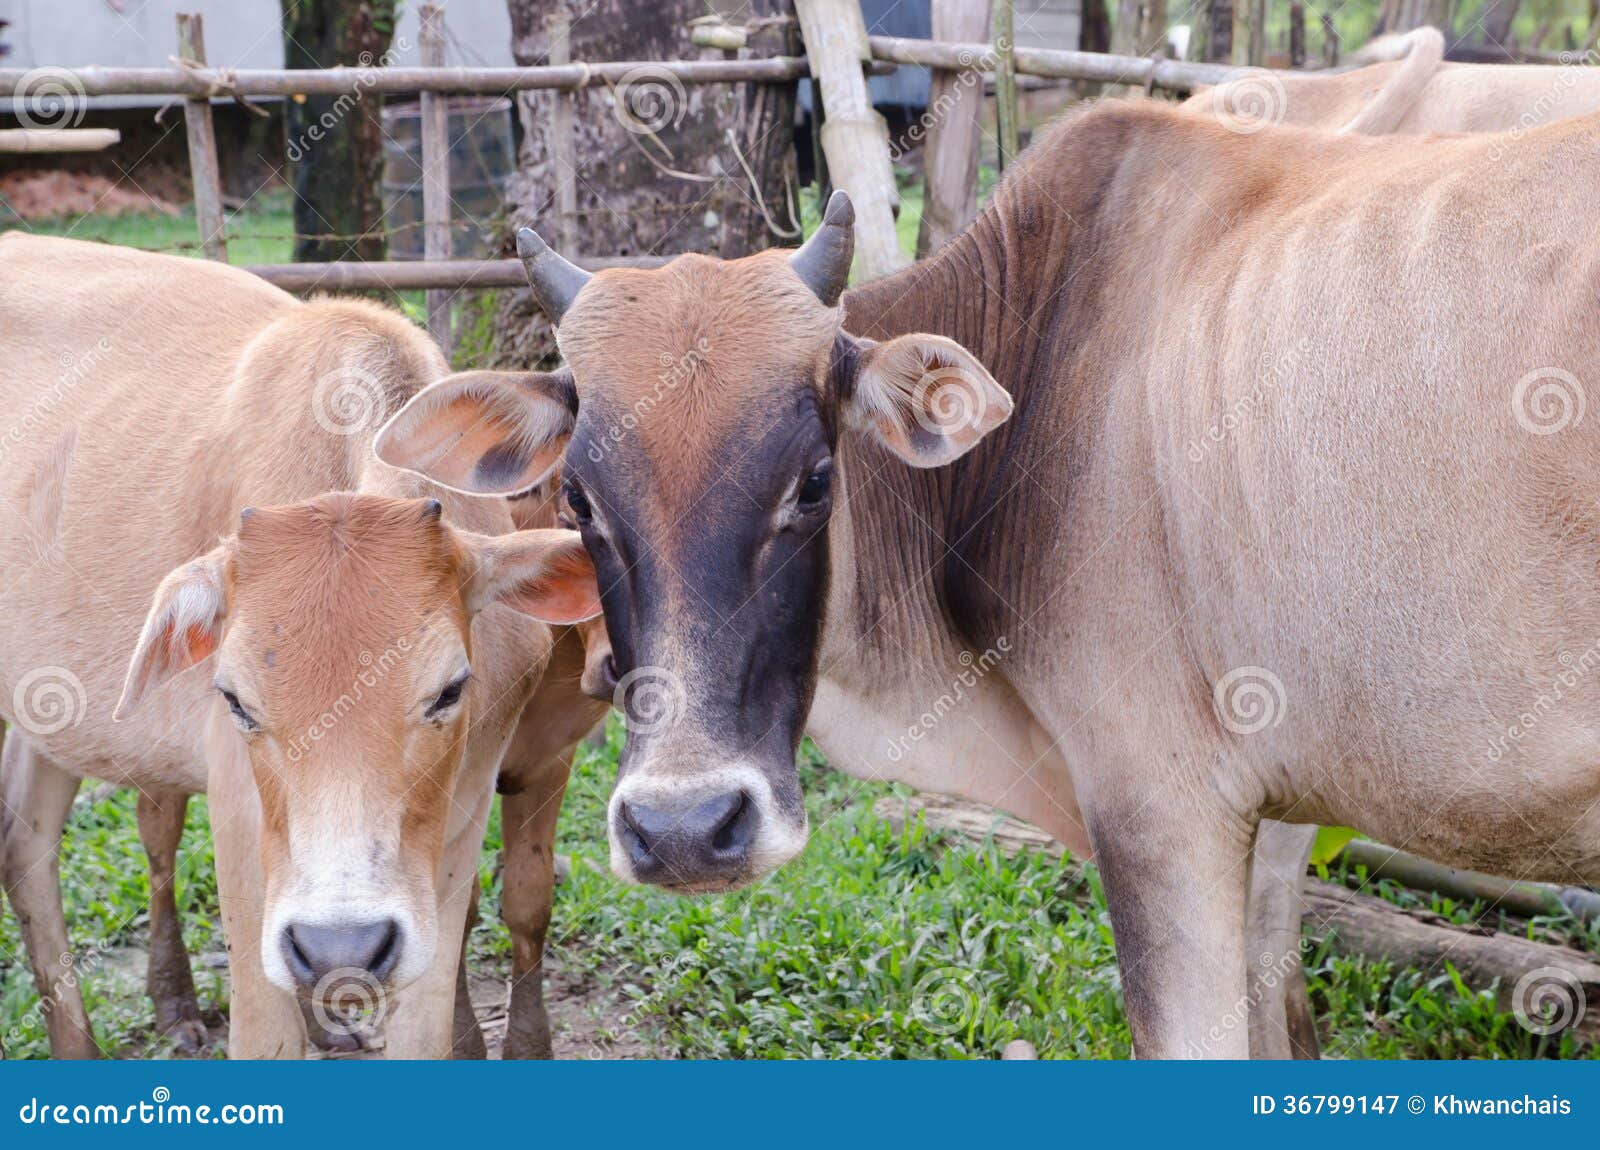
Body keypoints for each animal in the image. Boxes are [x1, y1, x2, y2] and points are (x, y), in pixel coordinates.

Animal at [0, 234, 600, 1059]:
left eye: (451, 689)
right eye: (235, 700)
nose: (341, 944)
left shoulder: (466, 814)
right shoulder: (240, 823)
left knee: (24, 841)